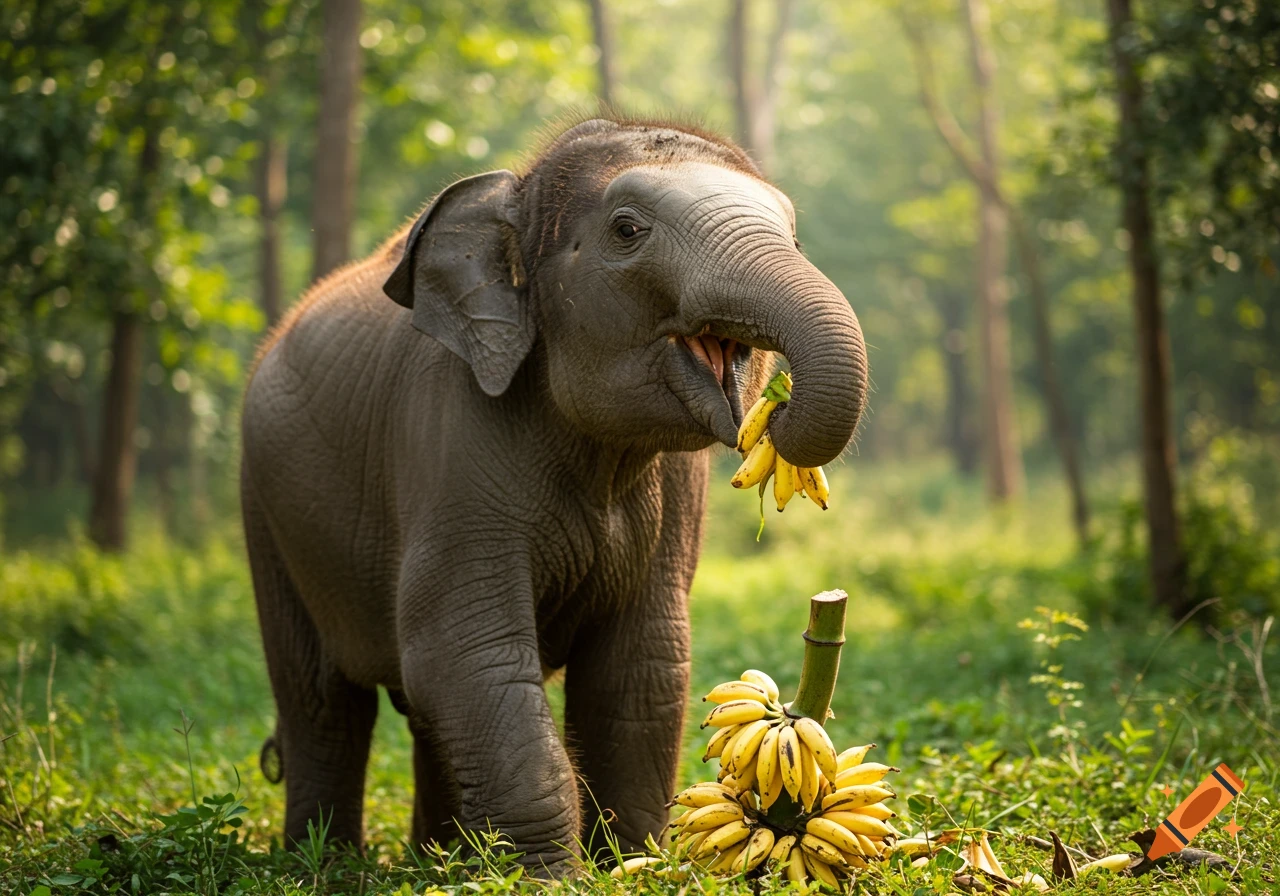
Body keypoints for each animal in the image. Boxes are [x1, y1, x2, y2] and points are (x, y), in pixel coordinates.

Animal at [240, 116, 868, 874]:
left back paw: (435, 861)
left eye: (795, 238)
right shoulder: (449, 437)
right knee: (323, 703)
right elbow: (467, 651)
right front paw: (546, 876)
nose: (776, 403)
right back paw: (326, 866)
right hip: (266, 510)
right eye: (627, 231)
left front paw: (631, 862)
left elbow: (641, 663)